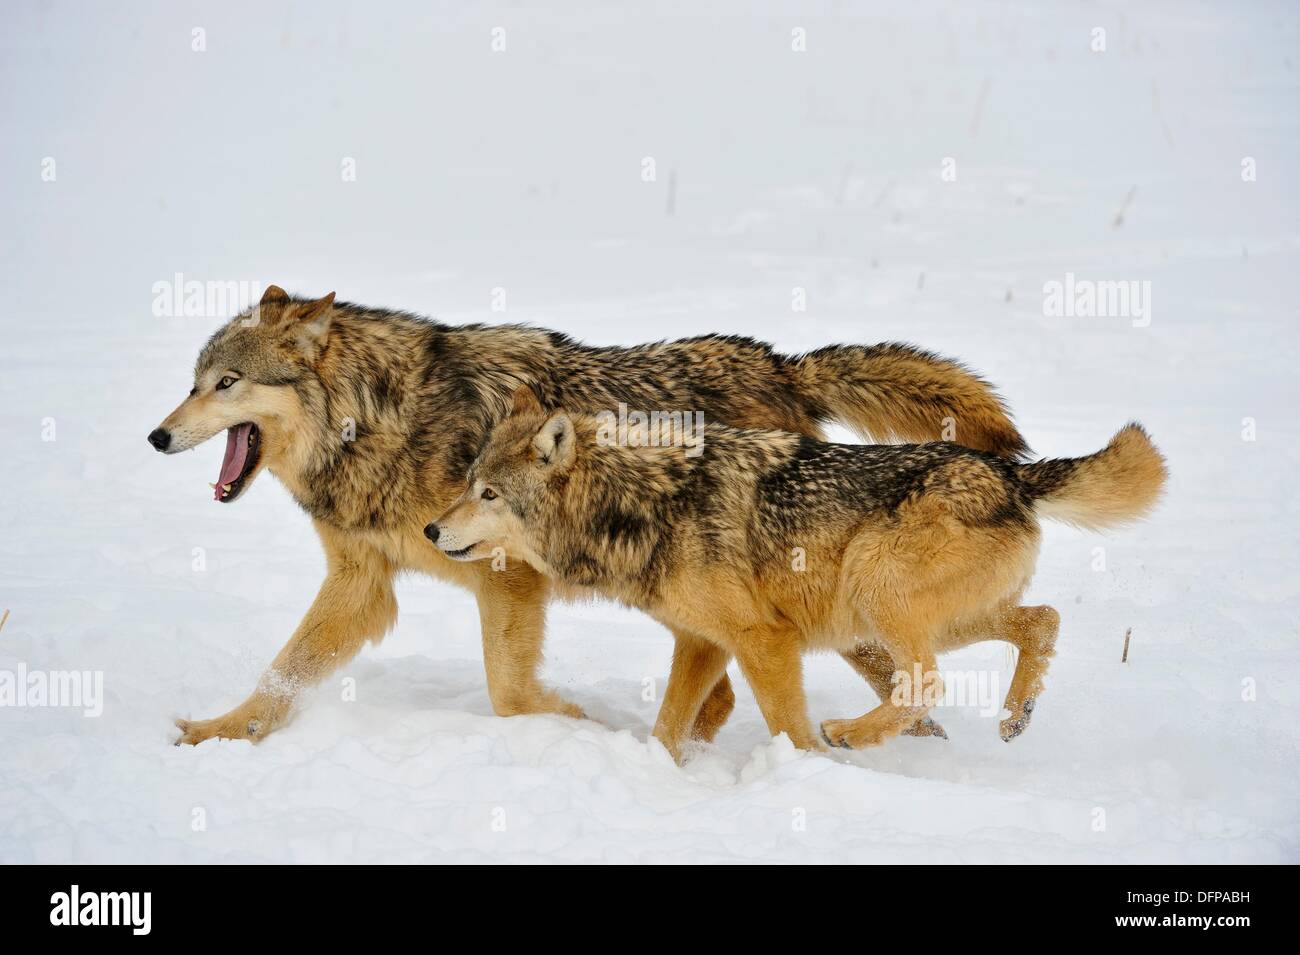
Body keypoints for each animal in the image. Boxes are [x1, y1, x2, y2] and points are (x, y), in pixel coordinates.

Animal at [149, 285, 1028, 745]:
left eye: (225, 383)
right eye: (194, 381)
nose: (157, 436)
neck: (381, 420)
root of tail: (782, 363)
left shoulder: (505, 577)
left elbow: (510, 693)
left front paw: (574, 723)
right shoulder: (363, 581)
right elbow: (280, 674)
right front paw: (214, 732)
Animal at [428, 387, 1166, 759]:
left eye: (488, 494)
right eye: (466, 484)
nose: (433, 530)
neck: (639, 502)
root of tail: (1010, 475)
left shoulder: (763, 640)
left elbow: (787, 726)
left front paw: (806, 769)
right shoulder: (703, 642)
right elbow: (669, 728)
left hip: (874, 587)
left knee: (929, 679)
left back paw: (853, 734)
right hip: (918, 614)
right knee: (1043, 620)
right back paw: (1016, 717)